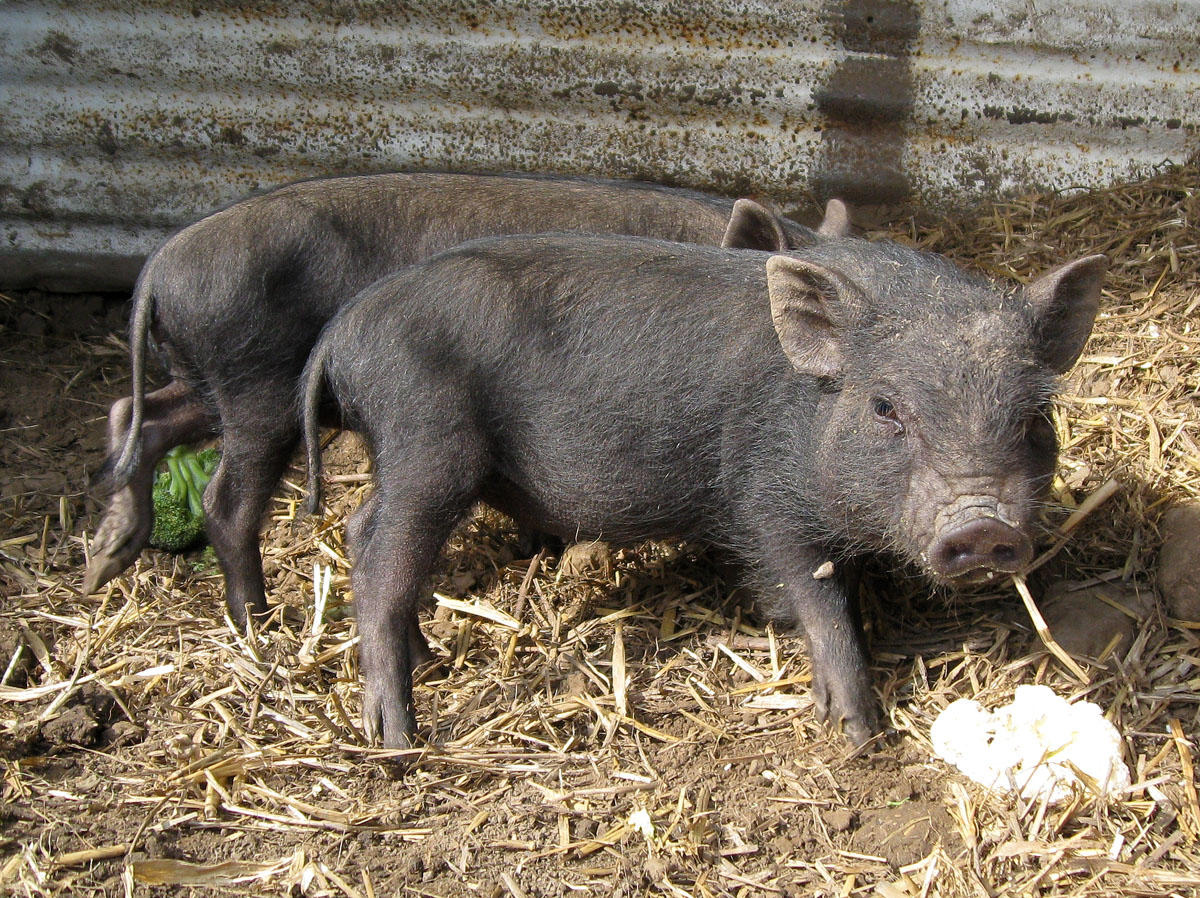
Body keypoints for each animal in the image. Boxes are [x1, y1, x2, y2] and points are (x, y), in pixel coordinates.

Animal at [86, 171, 839, 626]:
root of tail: (159, 265)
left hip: (210, 381)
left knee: (136, 417)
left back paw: (106, 559)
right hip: (256, 390)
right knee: (225, 501)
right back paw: (258, 621)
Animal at [301, 233, 1105, 750]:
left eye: (1035, 416)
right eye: (886, 408)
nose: (983, 526)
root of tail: (340, 332)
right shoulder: (766, 505)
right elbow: (818, 602)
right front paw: (856, 735)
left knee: (362, 532)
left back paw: (426, 658)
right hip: (425, 442)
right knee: (378, 553)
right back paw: (399, 738)